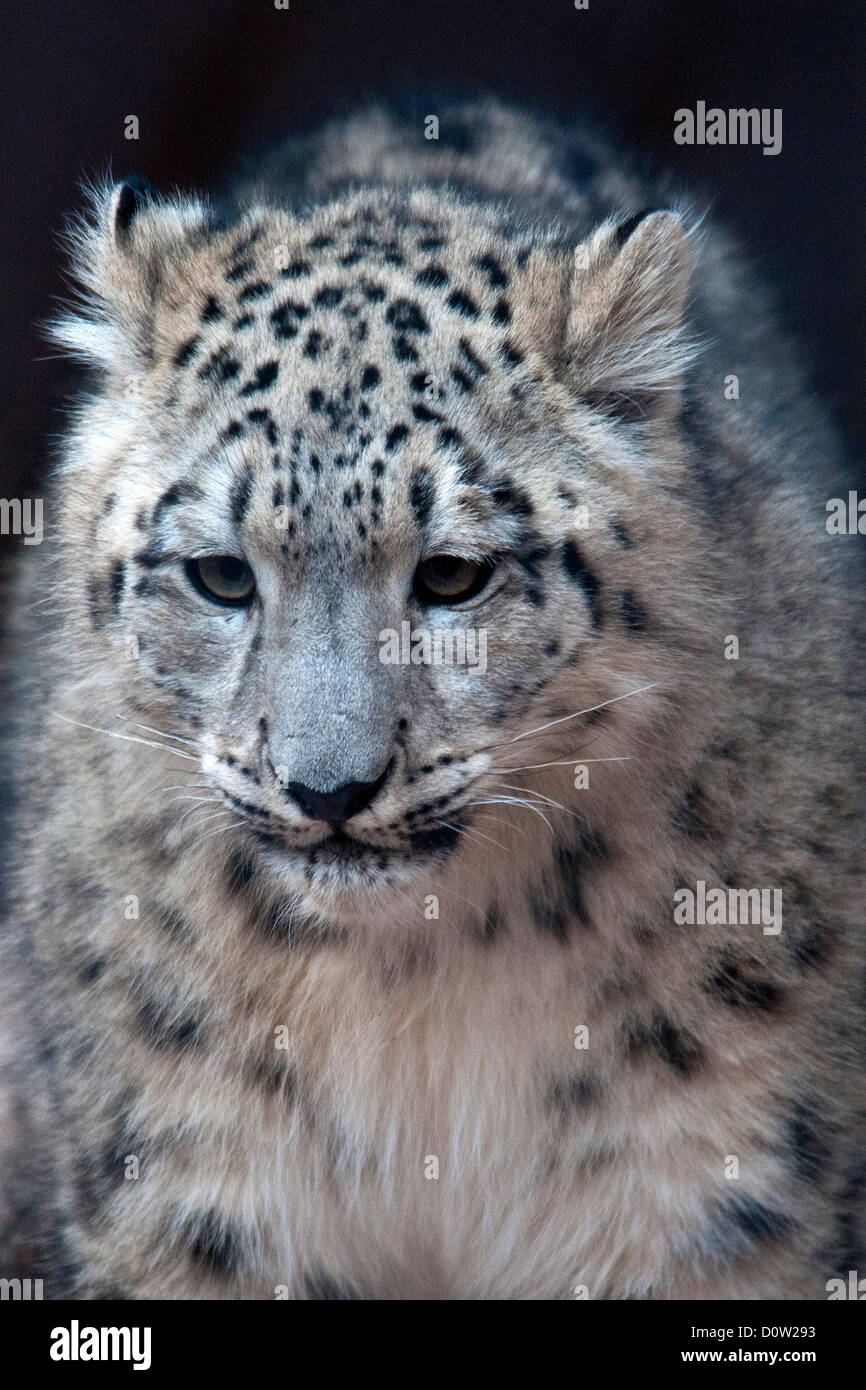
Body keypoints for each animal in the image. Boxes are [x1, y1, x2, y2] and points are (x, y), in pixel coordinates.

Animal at [1, 97, 864, 1300]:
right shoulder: (190, 1191)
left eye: (453, 575)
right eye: (220, 574)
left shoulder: (709, 1192)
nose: (326, 789)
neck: (413, 982)